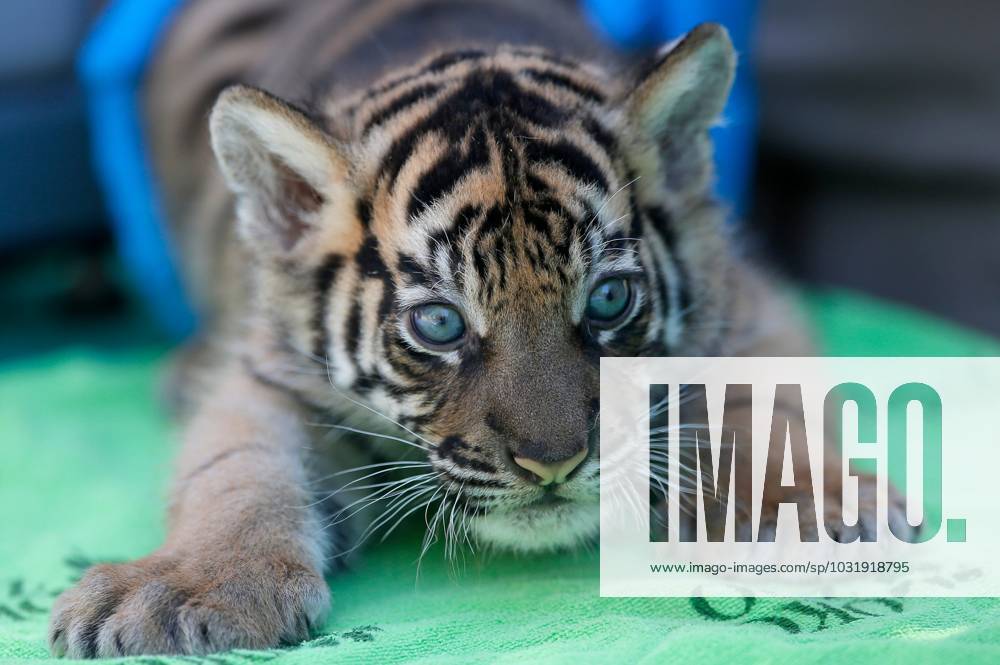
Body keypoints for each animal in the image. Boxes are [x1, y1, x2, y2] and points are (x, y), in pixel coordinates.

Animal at [49, 0, 910, 658]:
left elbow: (766, 405)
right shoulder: (271, 370)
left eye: (607, 302)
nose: (554, 463)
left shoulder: (746, 302)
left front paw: (812, 511)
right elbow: (234, 468)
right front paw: (183, 588)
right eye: (439, 322)